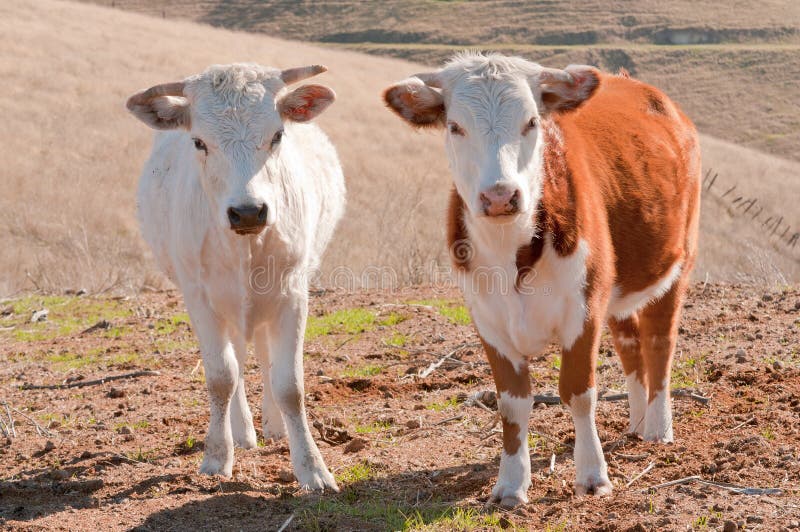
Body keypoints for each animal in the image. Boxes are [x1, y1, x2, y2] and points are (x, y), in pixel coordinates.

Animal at [126, 63, 345, 491]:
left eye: (277, 135)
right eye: (198, 142)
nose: (247, 212)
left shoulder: (294, 293)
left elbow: (289, 384)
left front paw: (312, 467)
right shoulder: (199, 297)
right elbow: (221, 376)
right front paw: (217, 456)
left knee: (263, 354)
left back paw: (273, 426)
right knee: (238, 362)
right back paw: (242, 432)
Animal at [383, 52, 700, 507]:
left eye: (531, 121)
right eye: (455, 126)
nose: (500, 196)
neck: (510, 252)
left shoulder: (583, 310)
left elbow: (579, 393)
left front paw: (592, 475)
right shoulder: (489, 321)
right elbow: (513, 403)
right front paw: (511, 484)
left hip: (678, 261)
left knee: (659, 341)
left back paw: (658, 427)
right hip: (617, 286)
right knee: (629, 345)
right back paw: (638, 423)